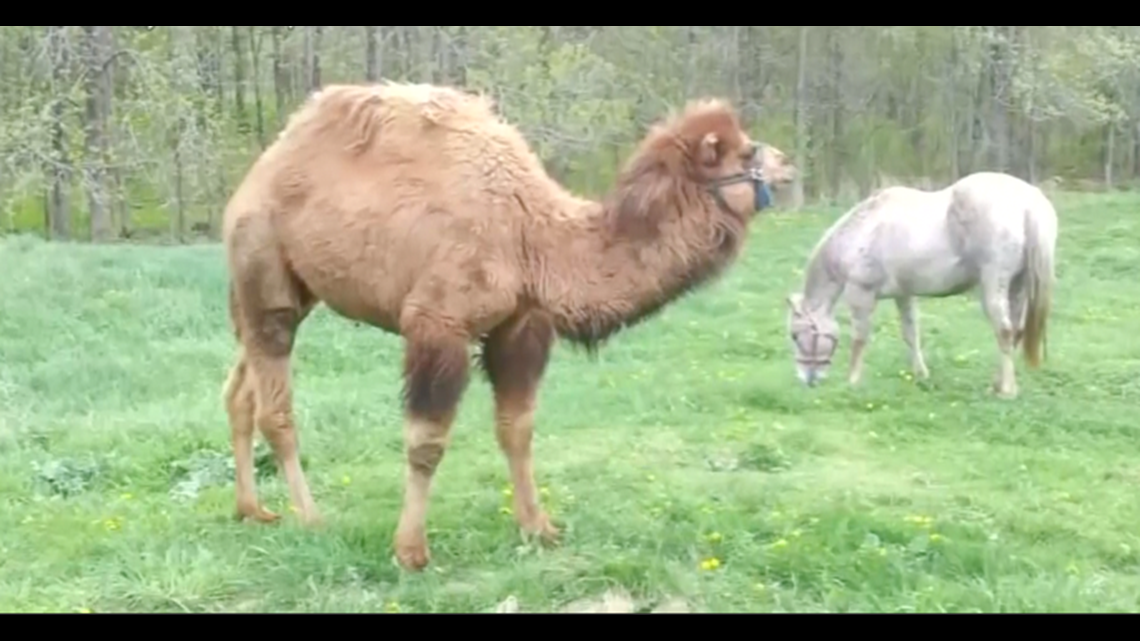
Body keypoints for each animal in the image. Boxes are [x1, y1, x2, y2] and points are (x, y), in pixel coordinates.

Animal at [221, 82, 796, 571]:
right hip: (263, 266)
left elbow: (516, 429)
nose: (790, 166)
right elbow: (427, 441)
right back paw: (310, 517)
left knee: (240, 390)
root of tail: (253, 178)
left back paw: (253, 510)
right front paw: (411, 551)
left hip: (295, 291)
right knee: (276, 405)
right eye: (745, 153)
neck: (533, 237)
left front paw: (538, 527)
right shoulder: (438, 322)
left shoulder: (522, 324)